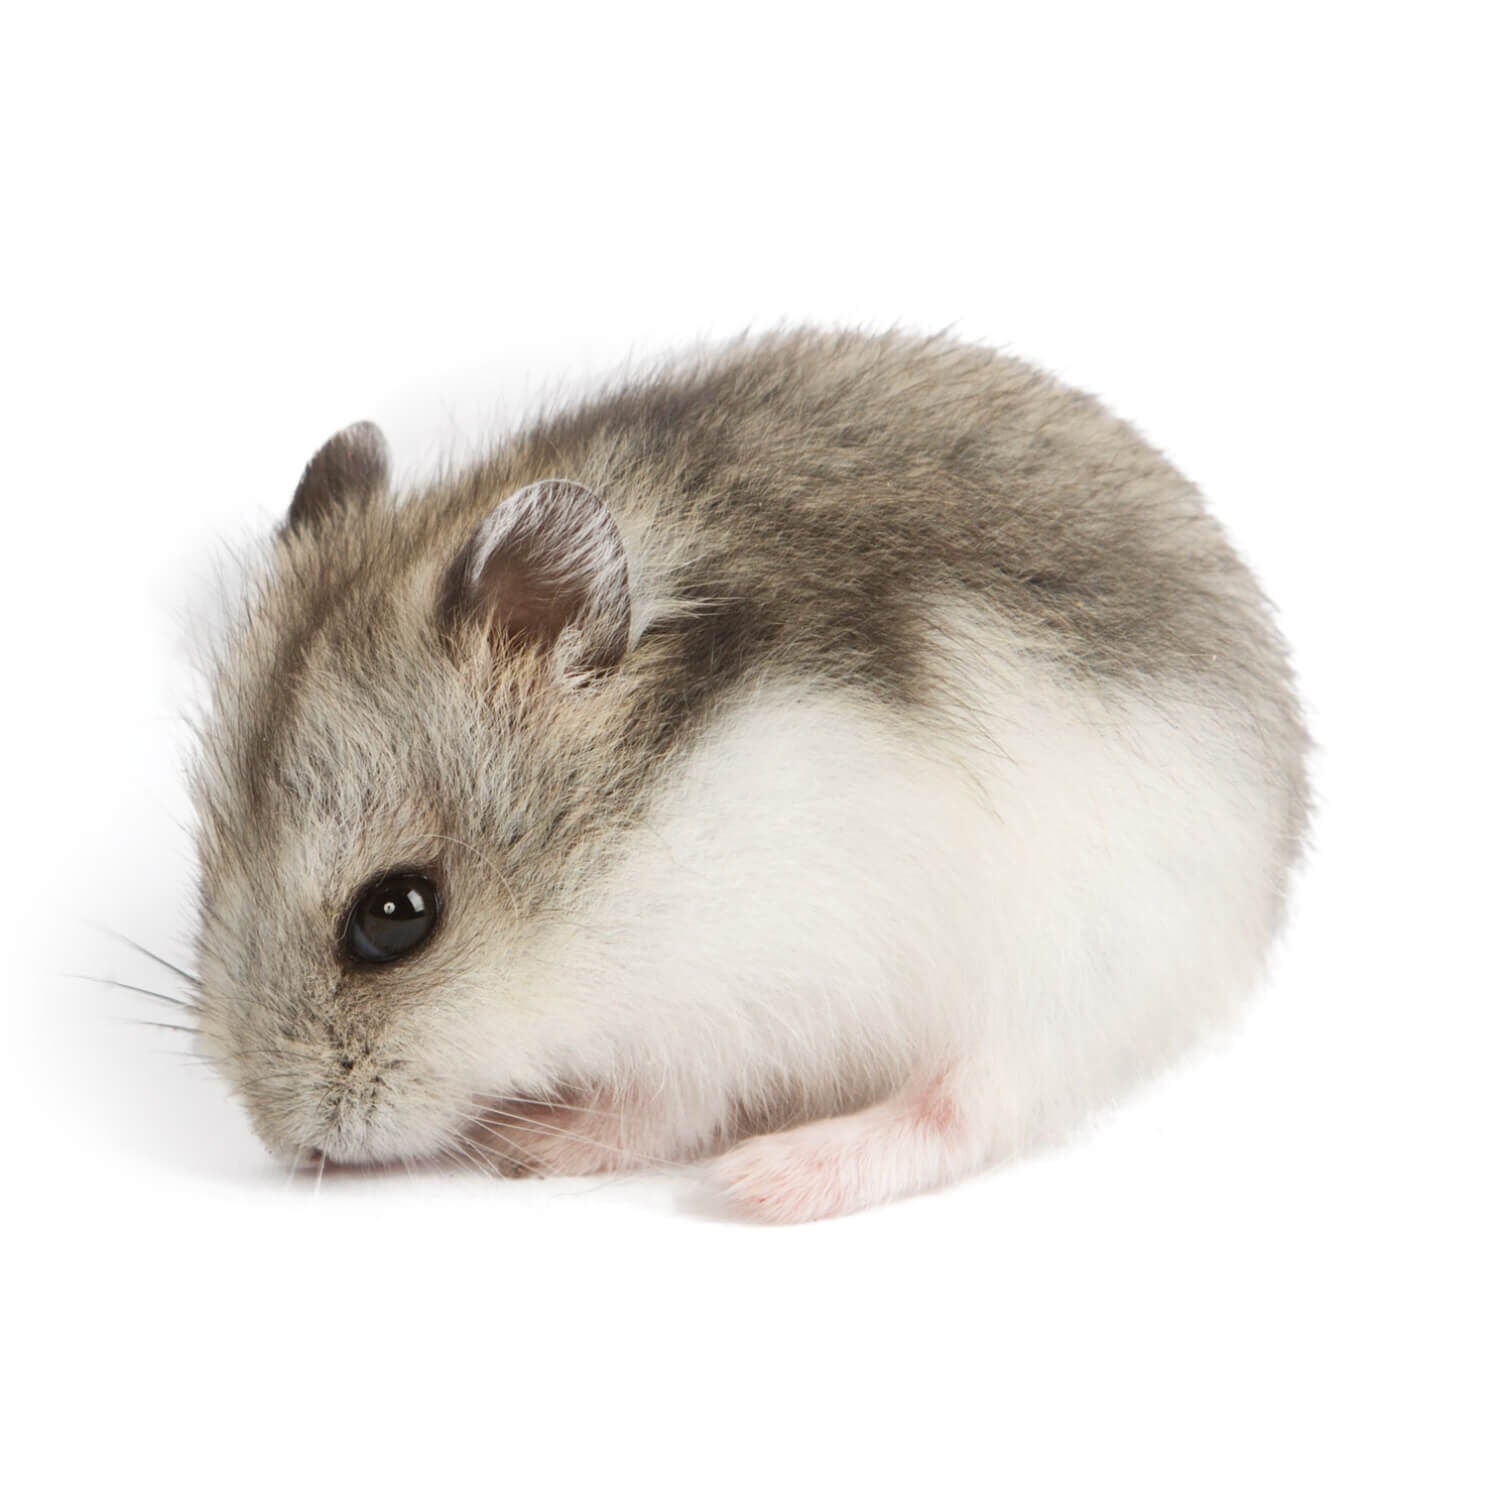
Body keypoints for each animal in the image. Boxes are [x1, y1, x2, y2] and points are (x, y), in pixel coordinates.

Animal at [190, 329, 1308, 1222]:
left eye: (397, 917)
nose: (288, 1142)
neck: (634, 853)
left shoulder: (739, 1004)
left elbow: (666, 1103)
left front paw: (533, 1145)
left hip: (1067, 967)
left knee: (970, 1105)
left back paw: (773, 1179)